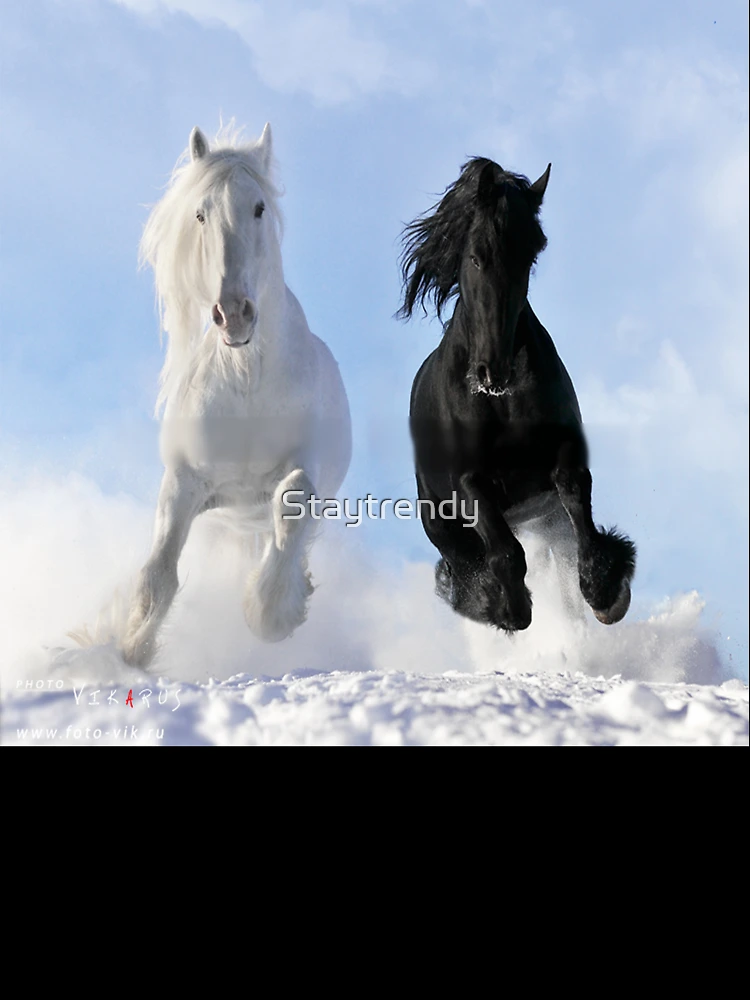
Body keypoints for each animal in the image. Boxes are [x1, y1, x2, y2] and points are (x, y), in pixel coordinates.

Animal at [122, 123, 351, 667]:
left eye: (259, 207)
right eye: (200, 213)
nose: (234, 314)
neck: (246, 380)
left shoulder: (304, 471)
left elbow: (292, 501)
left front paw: (273, 612)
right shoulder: (184, 481)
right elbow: (158, 575)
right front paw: (129, 650)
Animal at [398, 157, 635, 633]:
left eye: (529, 257)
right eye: (476, 255)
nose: (493, 371)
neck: (500, 401)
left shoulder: (565, 452)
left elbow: (576, 499)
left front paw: (605, 590)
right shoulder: (469, 480)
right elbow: (505, 552)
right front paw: (508, 607)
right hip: (442, 524)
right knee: (465, 566)